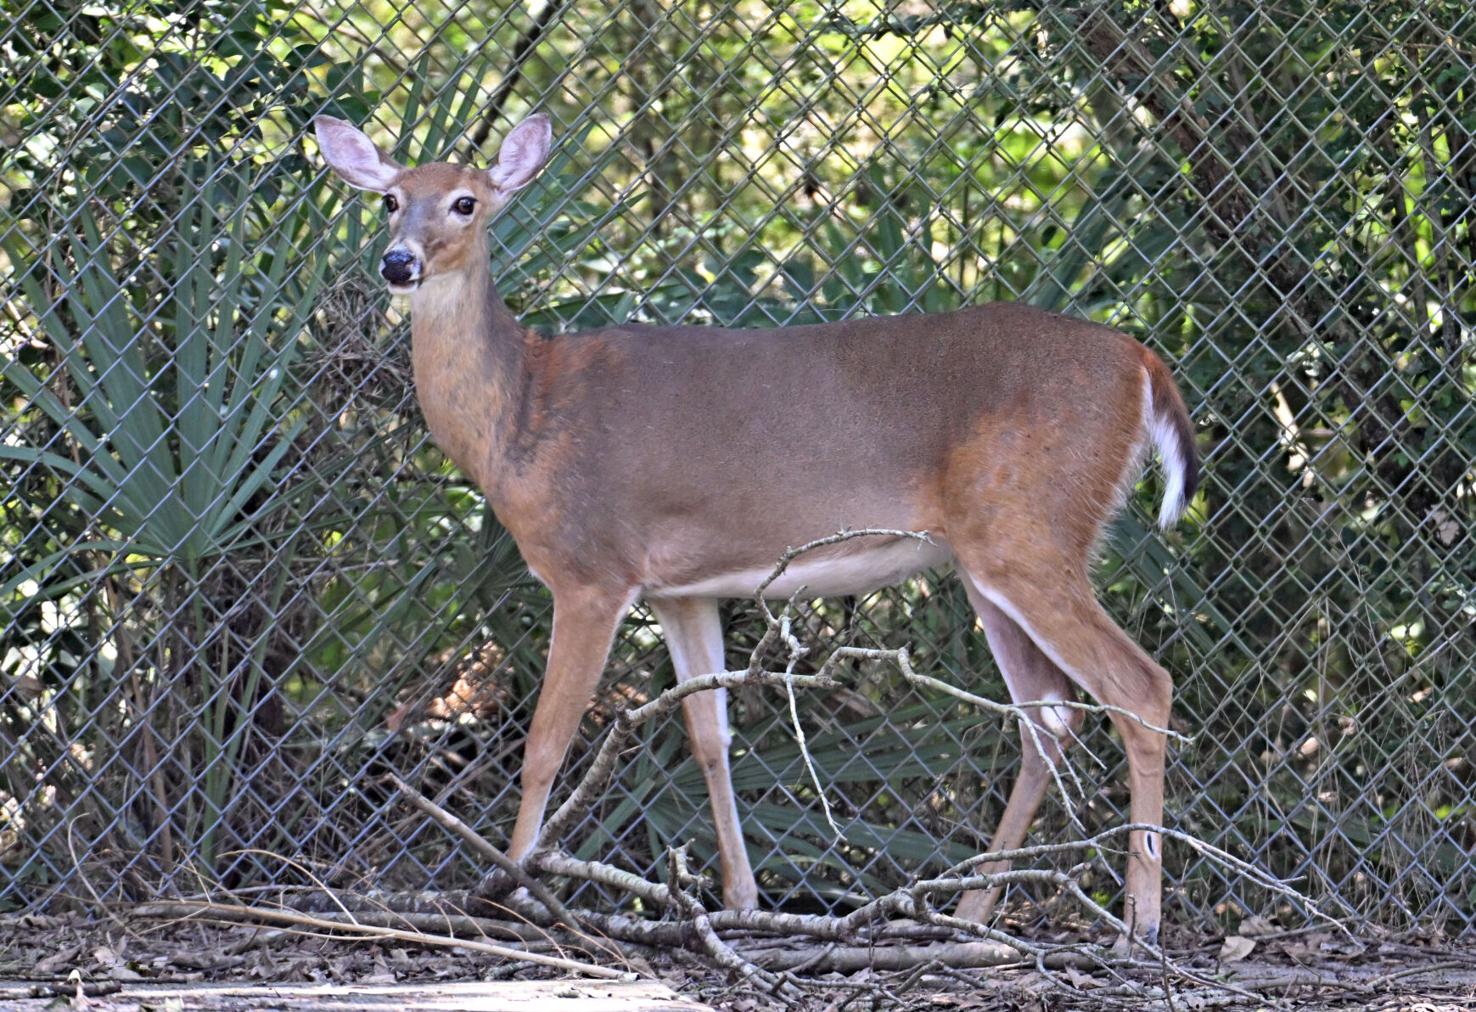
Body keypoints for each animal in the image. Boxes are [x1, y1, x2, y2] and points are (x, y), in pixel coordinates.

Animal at [316, 110, 1199, 945]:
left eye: (466, 201)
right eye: (390, 199)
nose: (398, 262)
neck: (524, 419)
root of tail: (1143, 363)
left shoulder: (591, 567)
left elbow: (543, 745)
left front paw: (514, 889)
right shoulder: (678, 590)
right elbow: (711, 737)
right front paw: (738, 902)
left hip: (1030, 530)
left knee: (1139, 687)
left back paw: (1141, 922)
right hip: (986, 556)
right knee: (1048, 715)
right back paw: (969, 913)